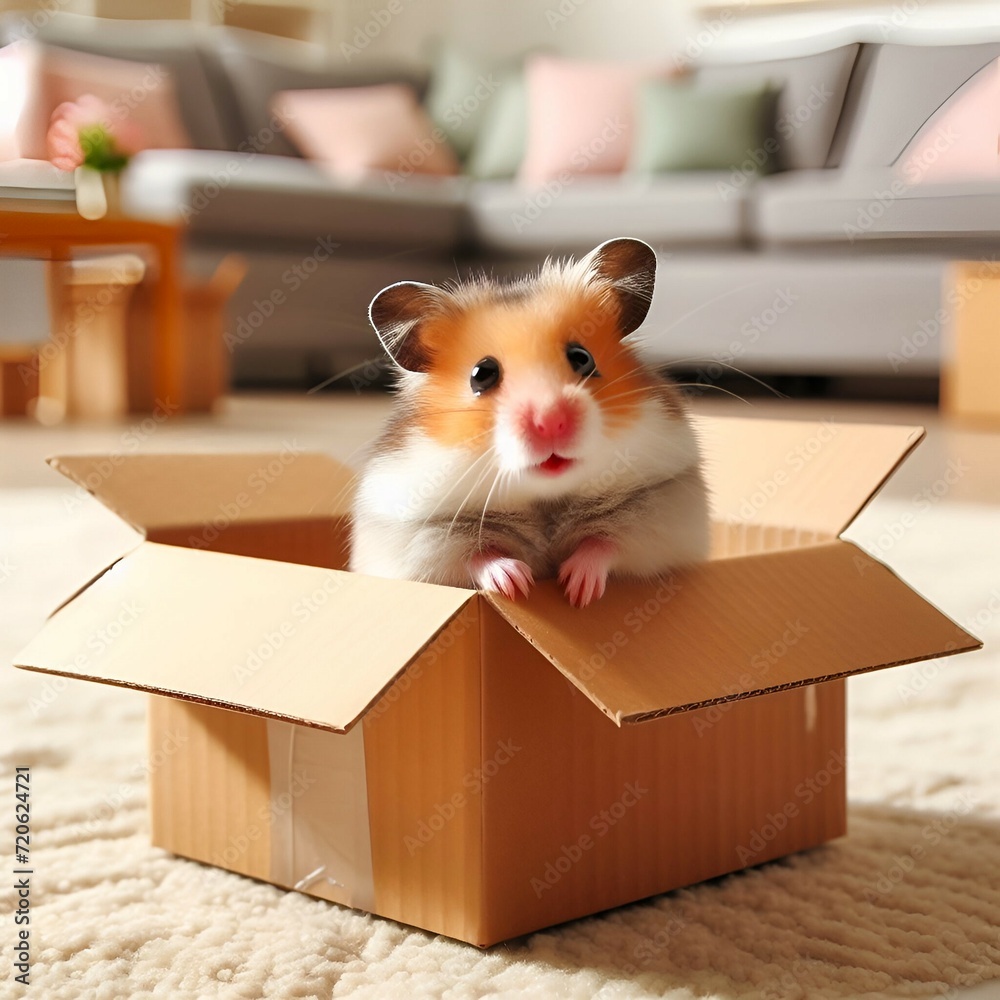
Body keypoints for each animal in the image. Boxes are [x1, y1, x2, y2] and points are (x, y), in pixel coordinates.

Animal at [349, 237, 709, 607]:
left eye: (583, 358)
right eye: (481, 374)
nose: (550, 422)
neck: (545, 499)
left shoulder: (659, 512)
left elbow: (604, 543)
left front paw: (577, 590)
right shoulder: (423, 536)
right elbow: (476, 555)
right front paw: (516, 584)